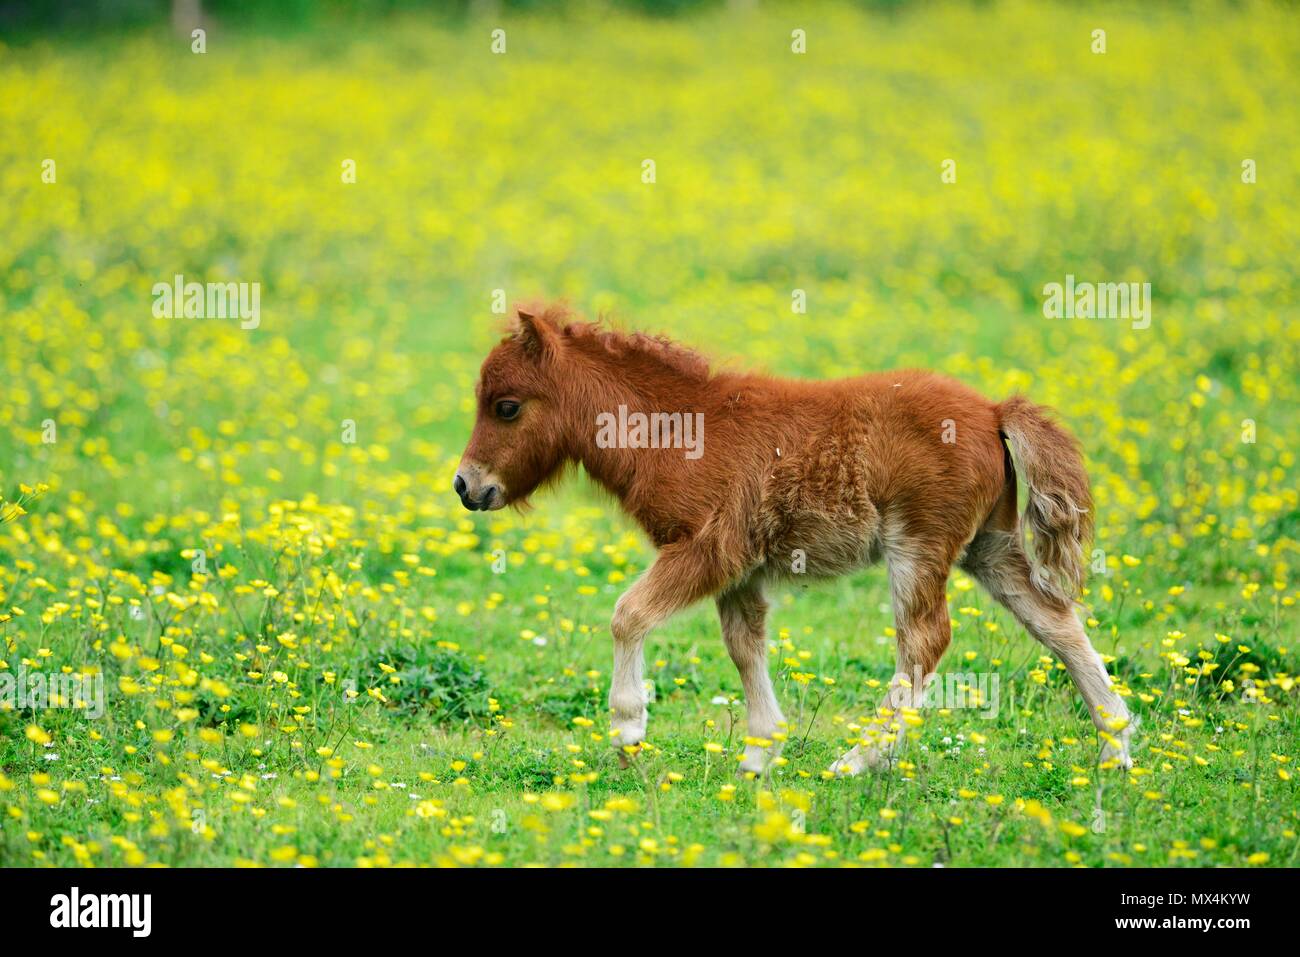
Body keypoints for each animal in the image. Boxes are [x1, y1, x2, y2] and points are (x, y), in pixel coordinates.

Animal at [453, 303, 1134, 774]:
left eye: (507, 406)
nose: (467, 486)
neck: (681, 431)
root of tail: (994, 412)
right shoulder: (742, 570)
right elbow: (744, 646)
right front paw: (758, 757)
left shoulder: (708, 549)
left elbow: (628, 615)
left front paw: (627, 734)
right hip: (986, 546)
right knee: (1056, 622)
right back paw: (1116, 747)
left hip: (919, 545)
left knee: (925, 641)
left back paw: (858, 762)